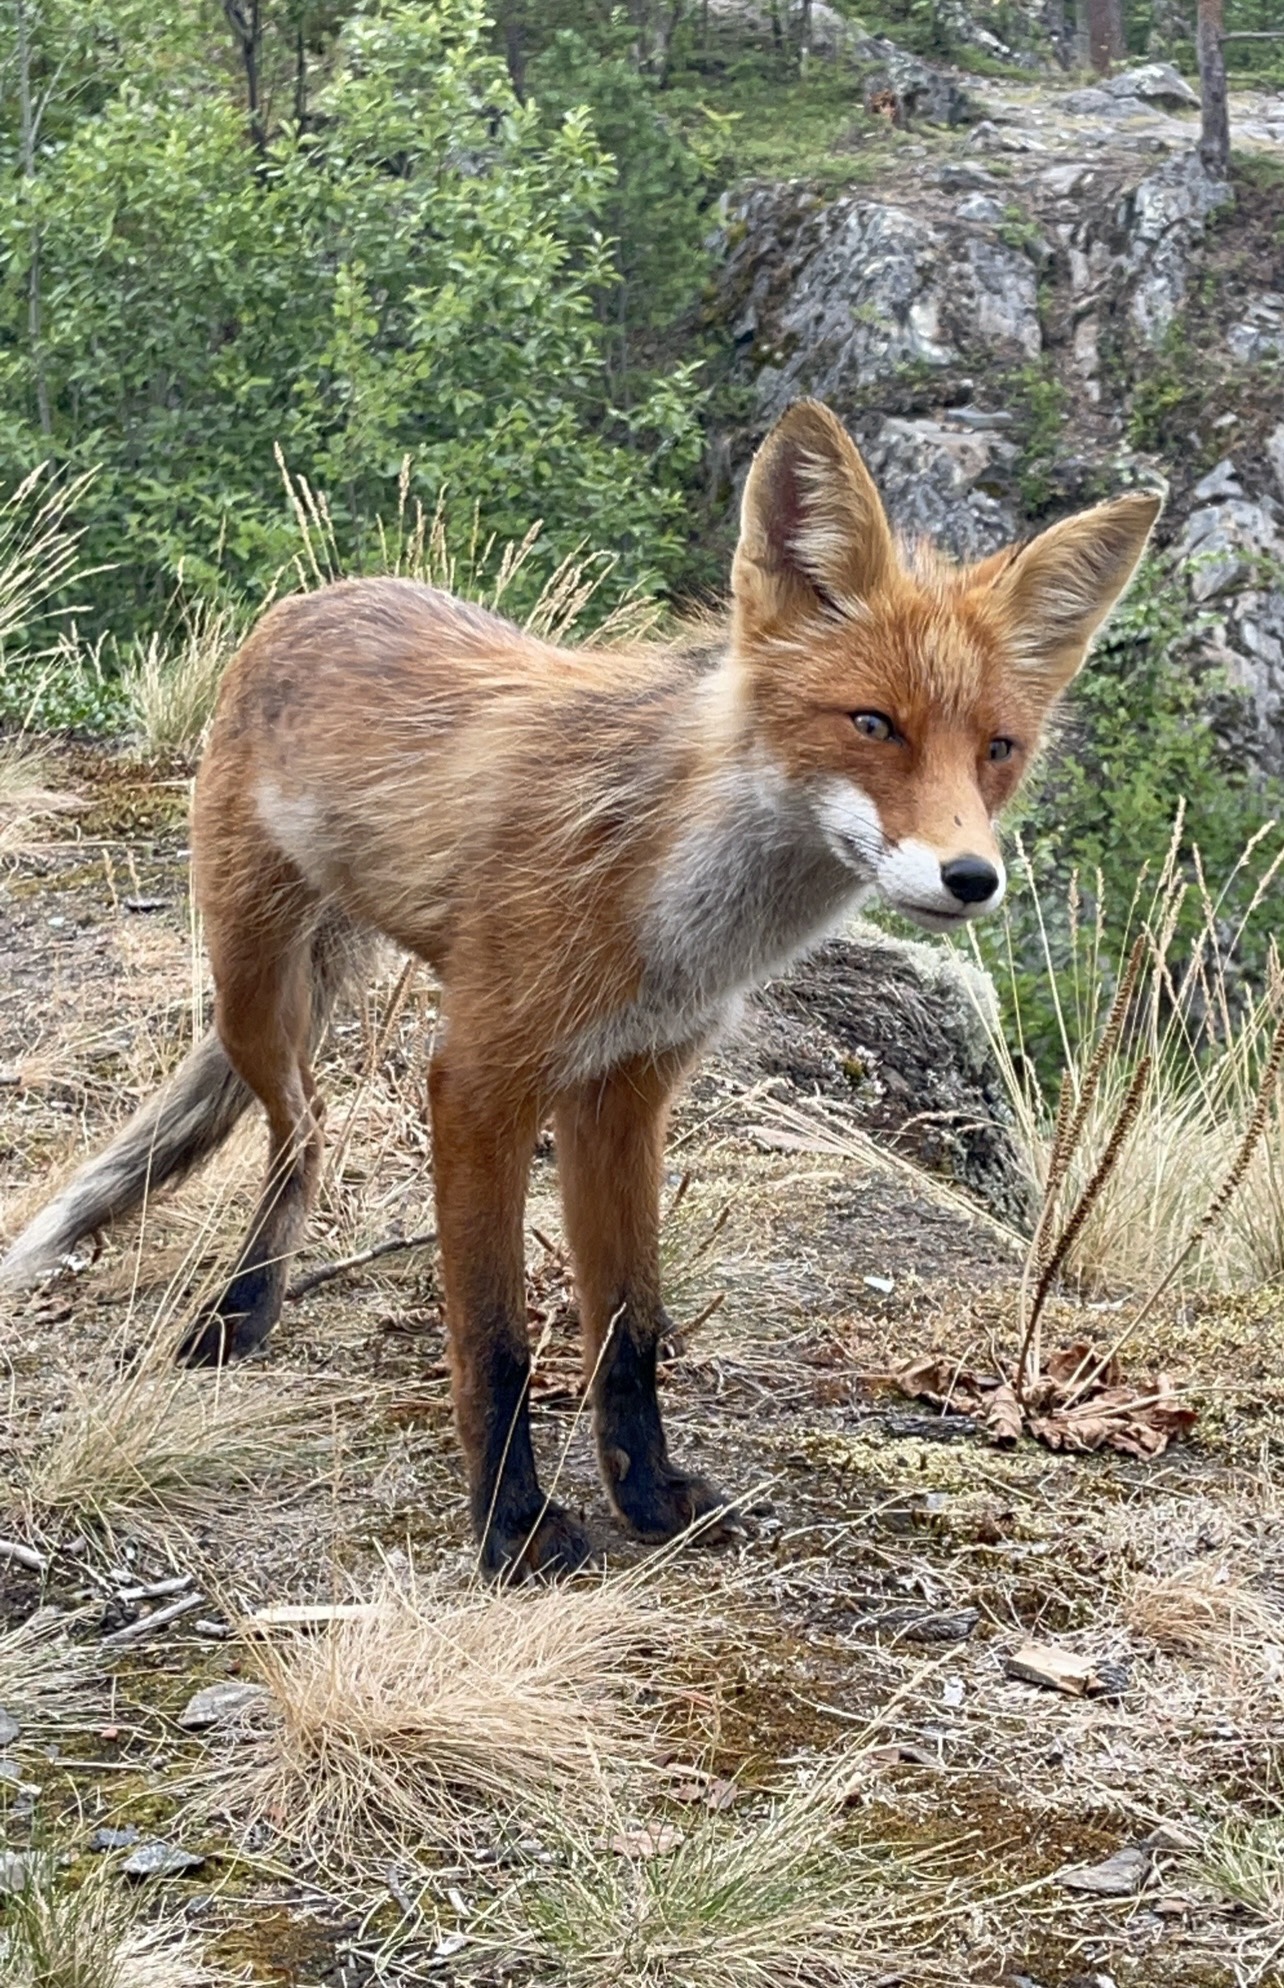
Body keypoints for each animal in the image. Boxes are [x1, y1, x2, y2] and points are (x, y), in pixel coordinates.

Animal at [0, 403, 1160, 1574]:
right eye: (873, 723)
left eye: (999, 749)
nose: (971, 878)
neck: (671, 899)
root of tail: (315, 596)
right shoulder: (478, 1081)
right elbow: (495, 1340)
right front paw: (512, 1525)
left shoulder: (627, 1091)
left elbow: (630, 1329)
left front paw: (643, 1492)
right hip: (250, 984)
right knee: (304, 1132)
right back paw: (242, 1309)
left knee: (304, 1133)